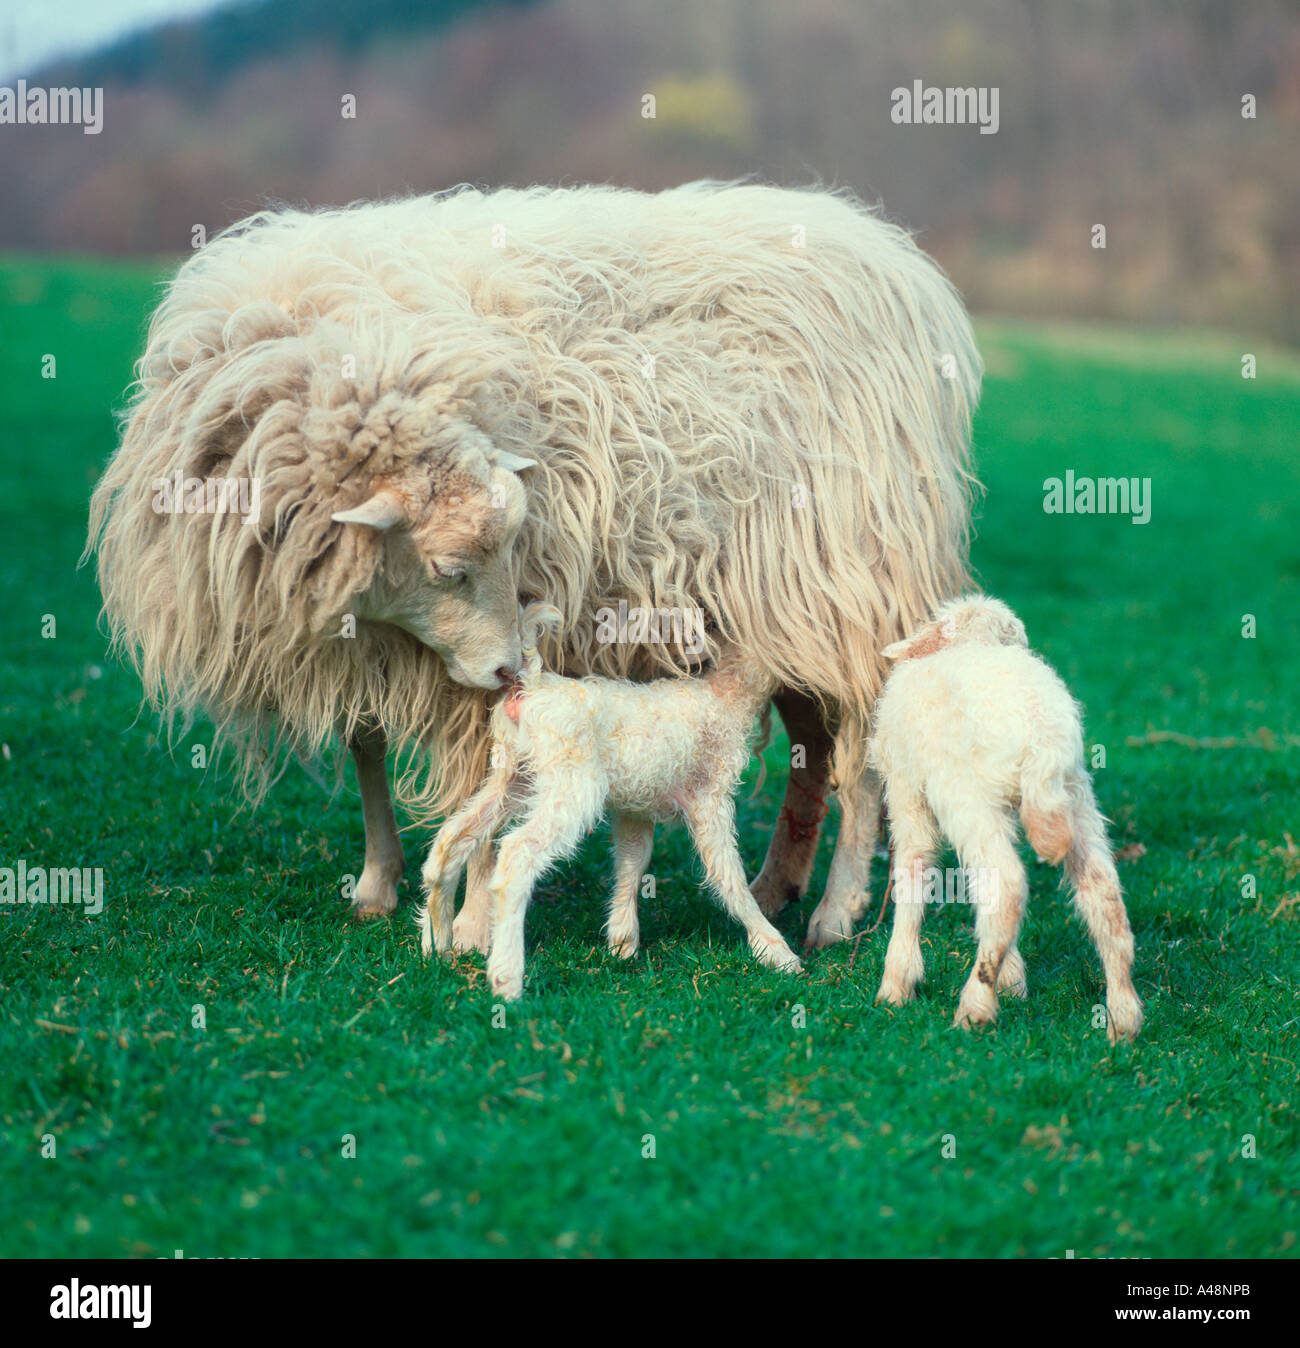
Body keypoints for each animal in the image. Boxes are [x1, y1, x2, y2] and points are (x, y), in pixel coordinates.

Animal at [86, 181, 982, 942]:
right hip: (776, 613)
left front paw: (475, 925)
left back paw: (835, 910)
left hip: (844, 584)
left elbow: (477, 787)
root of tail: (895, 264)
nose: (514, 668)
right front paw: (377, 883)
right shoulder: (367, 638)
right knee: (815, 747)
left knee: (860, 756)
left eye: (507, 550)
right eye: (448, 569)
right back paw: (775, 887)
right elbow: (368, 750)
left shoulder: (459, 670)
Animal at [417, 605, 801, 1000]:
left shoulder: (635, 807)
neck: (724, 694)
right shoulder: (709, 796)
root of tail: (532, 683)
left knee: (451, 839)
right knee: (517, 853)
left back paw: (435, 945)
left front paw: (622, 943)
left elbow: (632, 862)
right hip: (572, 784)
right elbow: (728, 875)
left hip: (512, 777)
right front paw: (776, 950)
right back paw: (506, 979)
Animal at [868, 595, 1143, 1042]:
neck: (973, 640)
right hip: (1074, 795)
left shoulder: (908, 791)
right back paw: (1123, 1018)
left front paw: (896, 986)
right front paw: (1013, 981)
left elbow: (913, 869)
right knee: (1102, 893)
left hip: (966, 794)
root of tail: (1042, 736)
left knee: (1008, 885)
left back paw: (974, 1006)